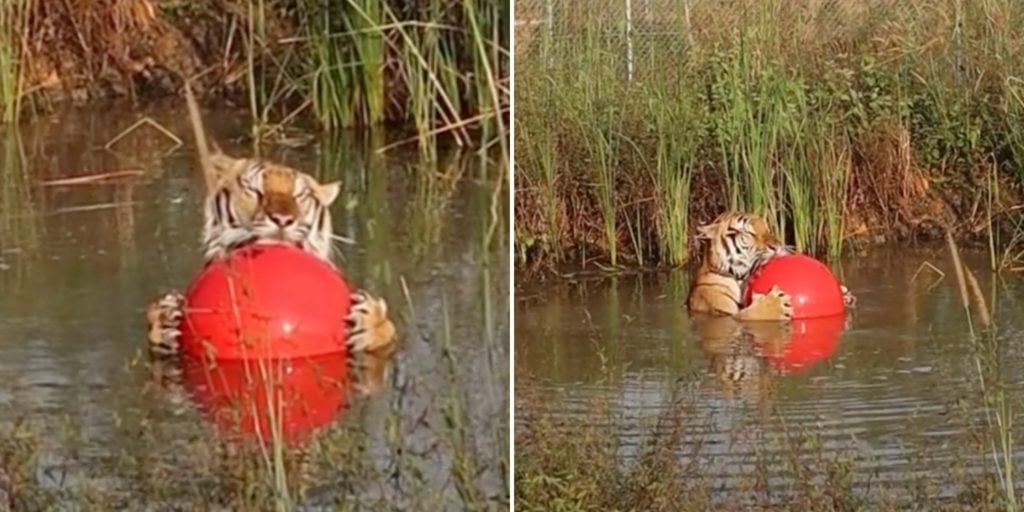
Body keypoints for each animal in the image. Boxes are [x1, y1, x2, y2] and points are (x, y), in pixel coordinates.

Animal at [145, 82, 395, 395]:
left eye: (300, 195)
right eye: (255, 190)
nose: (282, 219)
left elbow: (387, 334)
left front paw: (370, 319)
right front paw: (164, 318)